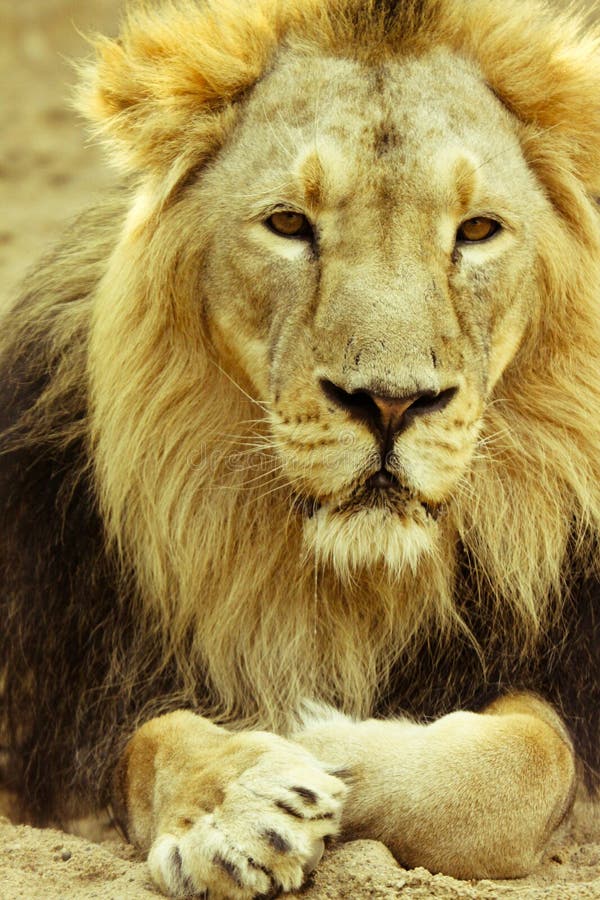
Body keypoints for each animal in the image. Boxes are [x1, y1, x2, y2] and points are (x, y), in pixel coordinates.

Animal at [1, 0, 600, 895]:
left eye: (478, 230)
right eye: (288, 224)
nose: (391, 401)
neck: (342, 588)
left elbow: (528, 760)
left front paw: (316, 734)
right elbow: (146, 739)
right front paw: (238, 797)